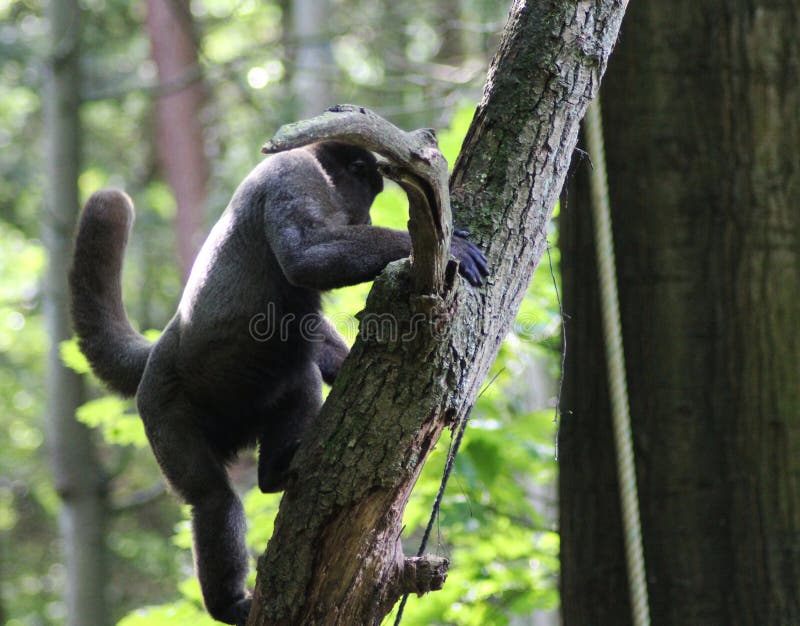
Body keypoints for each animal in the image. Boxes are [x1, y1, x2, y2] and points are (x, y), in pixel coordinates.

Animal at [69, 141, 488, 625]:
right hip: (164, 410)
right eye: (369, 189)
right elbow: (306, 258)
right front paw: (454, 245)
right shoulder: (295, 173)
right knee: (214, 496)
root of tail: (162, 346)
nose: (365, 219)